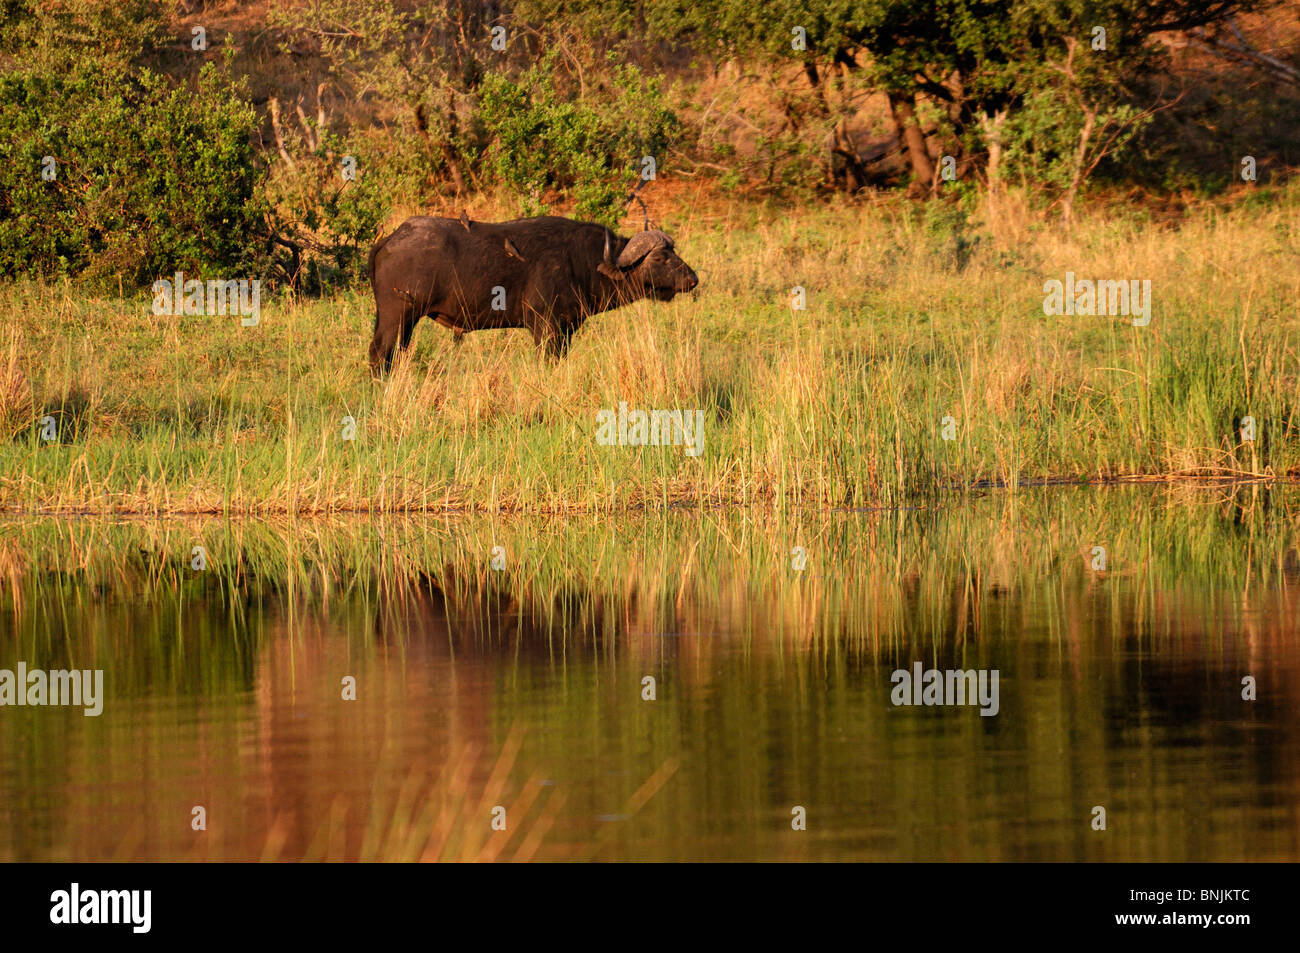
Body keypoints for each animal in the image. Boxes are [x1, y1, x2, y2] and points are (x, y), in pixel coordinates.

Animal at [367, 215, 699, 373]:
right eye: (661, 257)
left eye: (674, 251)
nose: (693, 279)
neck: (582, 261)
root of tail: (390, 239)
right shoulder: (545, 326)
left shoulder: (566, 329)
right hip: (396, 317)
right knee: (379, 354)